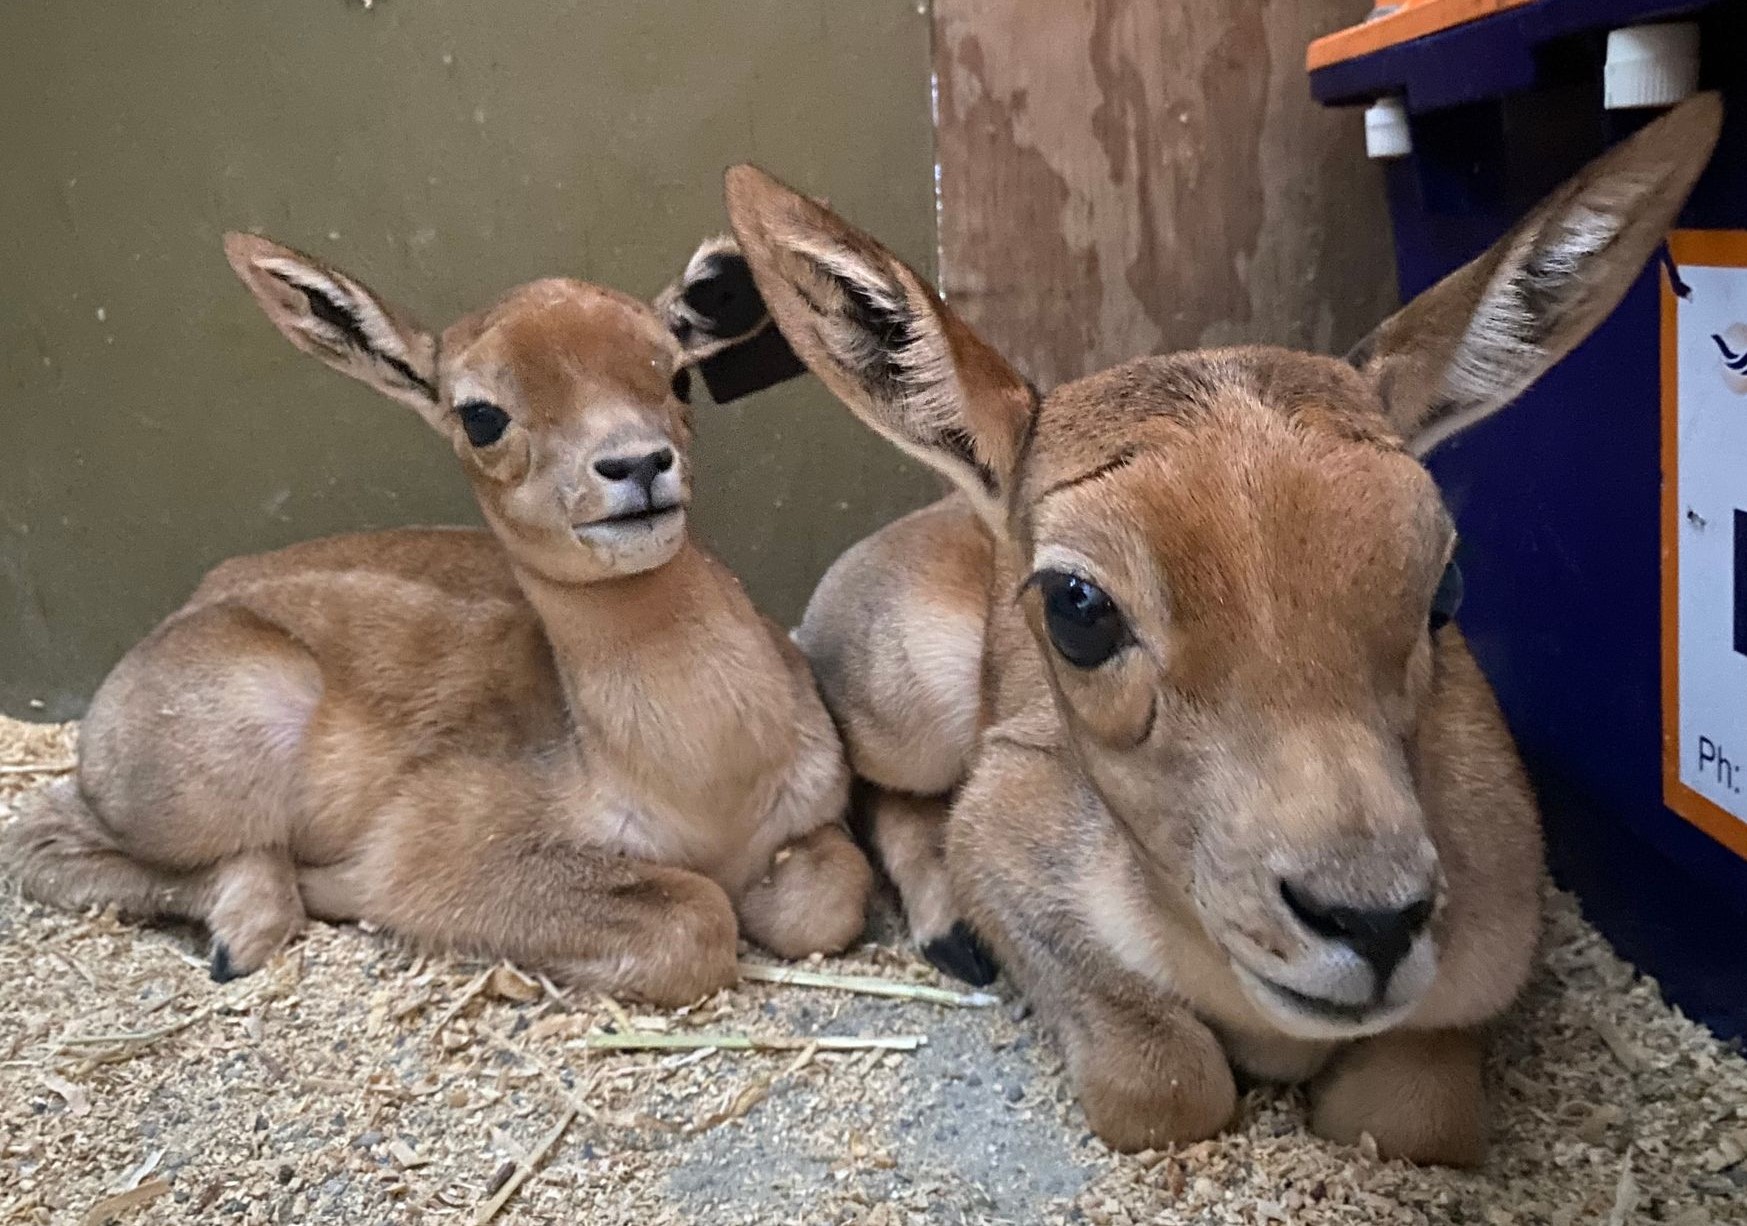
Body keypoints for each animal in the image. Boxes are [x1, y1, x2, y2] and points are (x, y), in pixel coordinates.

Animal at [1, 234, 872, 1005]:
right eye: (480, 414)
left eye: (679, 375)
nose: (635, 465)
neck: (709, 788)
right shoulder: (455, 852)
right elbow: (694, 920)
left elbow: (824, 902)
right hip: (214, 759)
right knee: (39, 834)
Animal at [705, 94, 1721, 1163]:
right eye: (1076, 606)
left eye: (1444, 580)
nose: (1370, 921)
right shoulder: (1008, 834)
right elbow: (1167, 1085)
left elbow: (1411, 1119)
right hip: (907, 700)